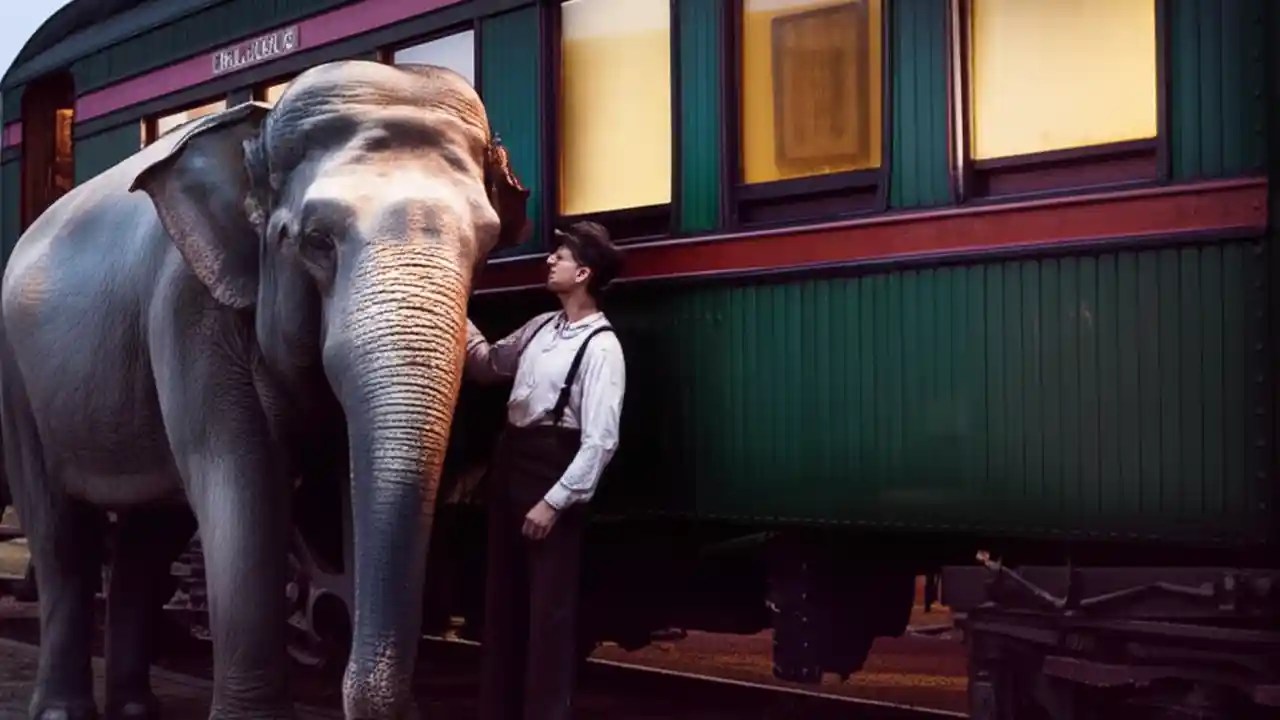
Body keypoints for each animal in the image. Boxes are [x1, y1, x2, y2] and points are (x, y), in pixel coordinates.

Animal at [0, 59, 529, 720]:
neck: (255, 136)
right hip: (20, 382)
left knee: (148, 542)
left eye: (486, 245)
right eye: (315, 241)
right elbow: (241, 475)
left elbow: (346, 482)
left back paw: (137, 709)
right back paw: (64, 710)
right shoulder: (187, 305)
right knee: (62, 537)